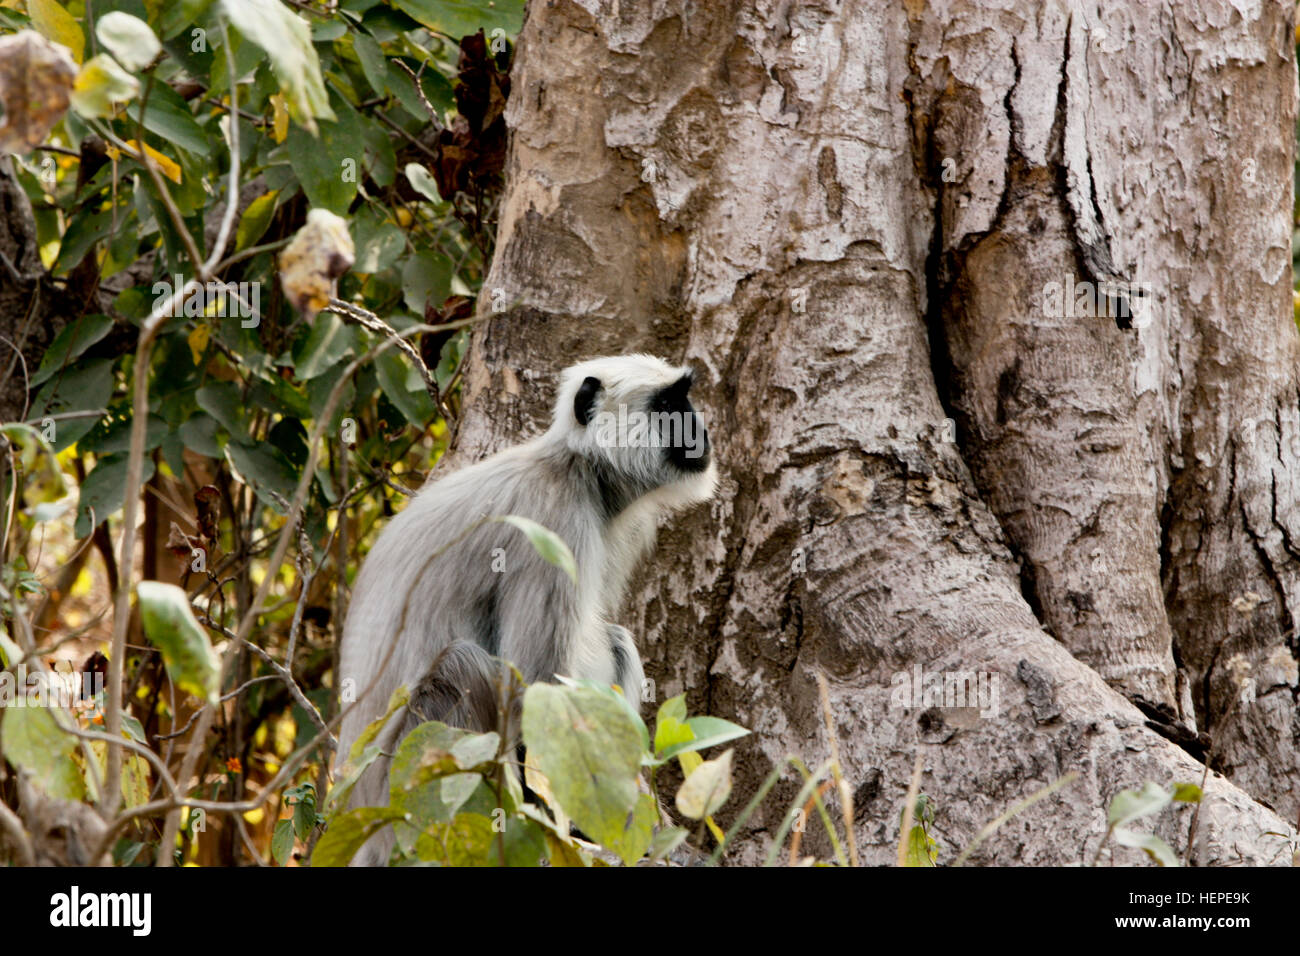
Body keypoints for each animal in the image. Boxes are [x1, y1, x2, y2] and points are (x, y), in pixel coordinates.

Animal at [334, 354, 717, 865]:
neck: (576, 468)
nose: (698, 427)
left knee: (613, 640)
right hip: (401, 797)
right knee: (465, 666)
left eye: (684, 400)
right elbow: (538, 689)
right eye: (667, 405)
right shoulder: (553, 524)